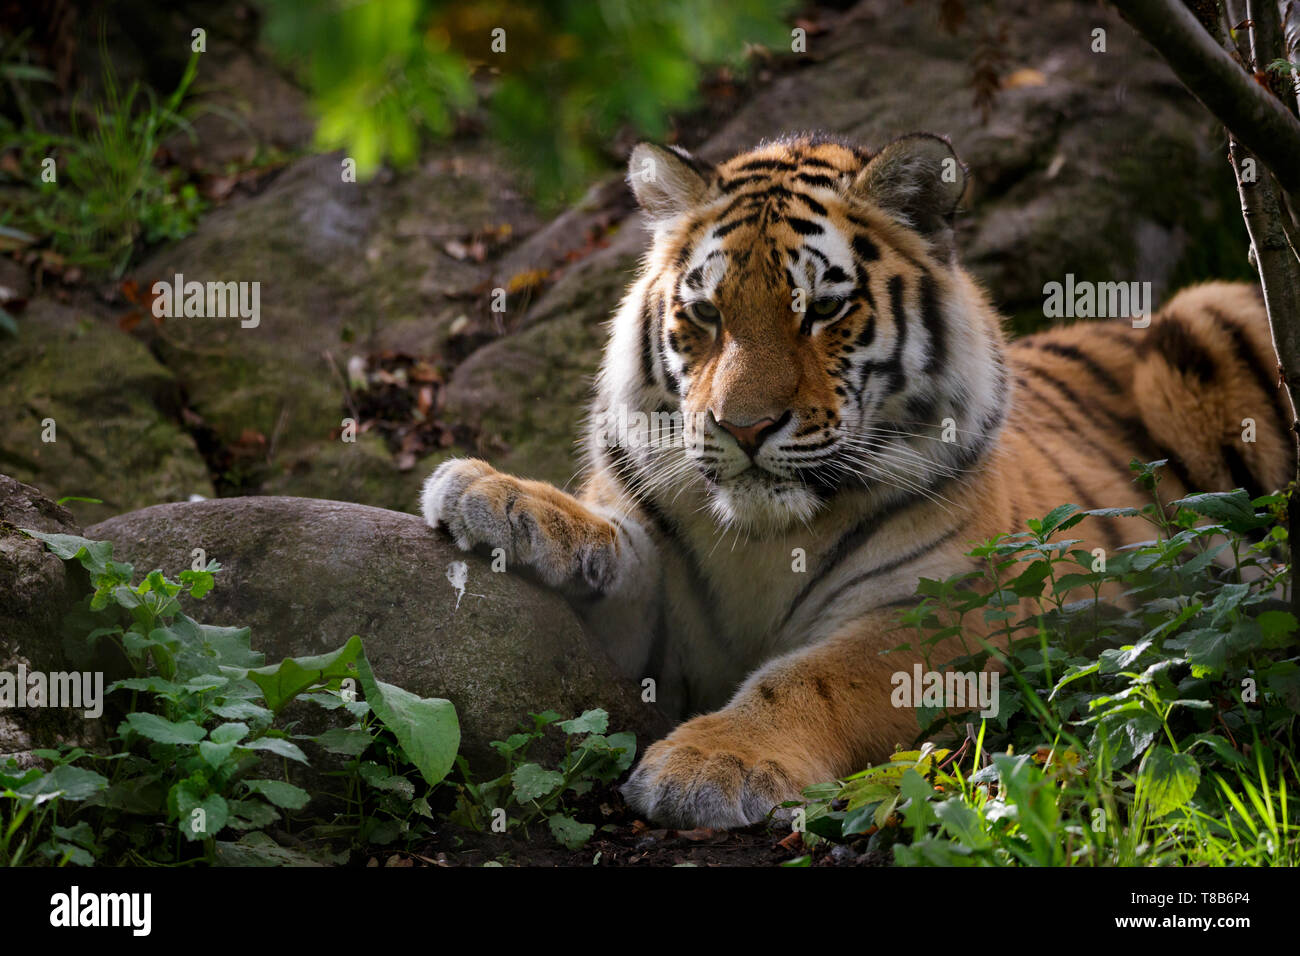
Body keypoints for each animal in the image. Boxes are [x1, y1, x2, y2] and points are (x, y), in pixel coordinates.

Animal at [421, 132, 1294, 829]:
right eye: (706, 315)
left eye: (819, 309)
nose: (743, 428)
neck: (763, 538)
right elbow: (616, 552)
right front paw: (495, 498)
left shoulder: (944, 612)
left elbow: (816, 678)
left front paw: (711, 764)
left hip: (1212, 320)